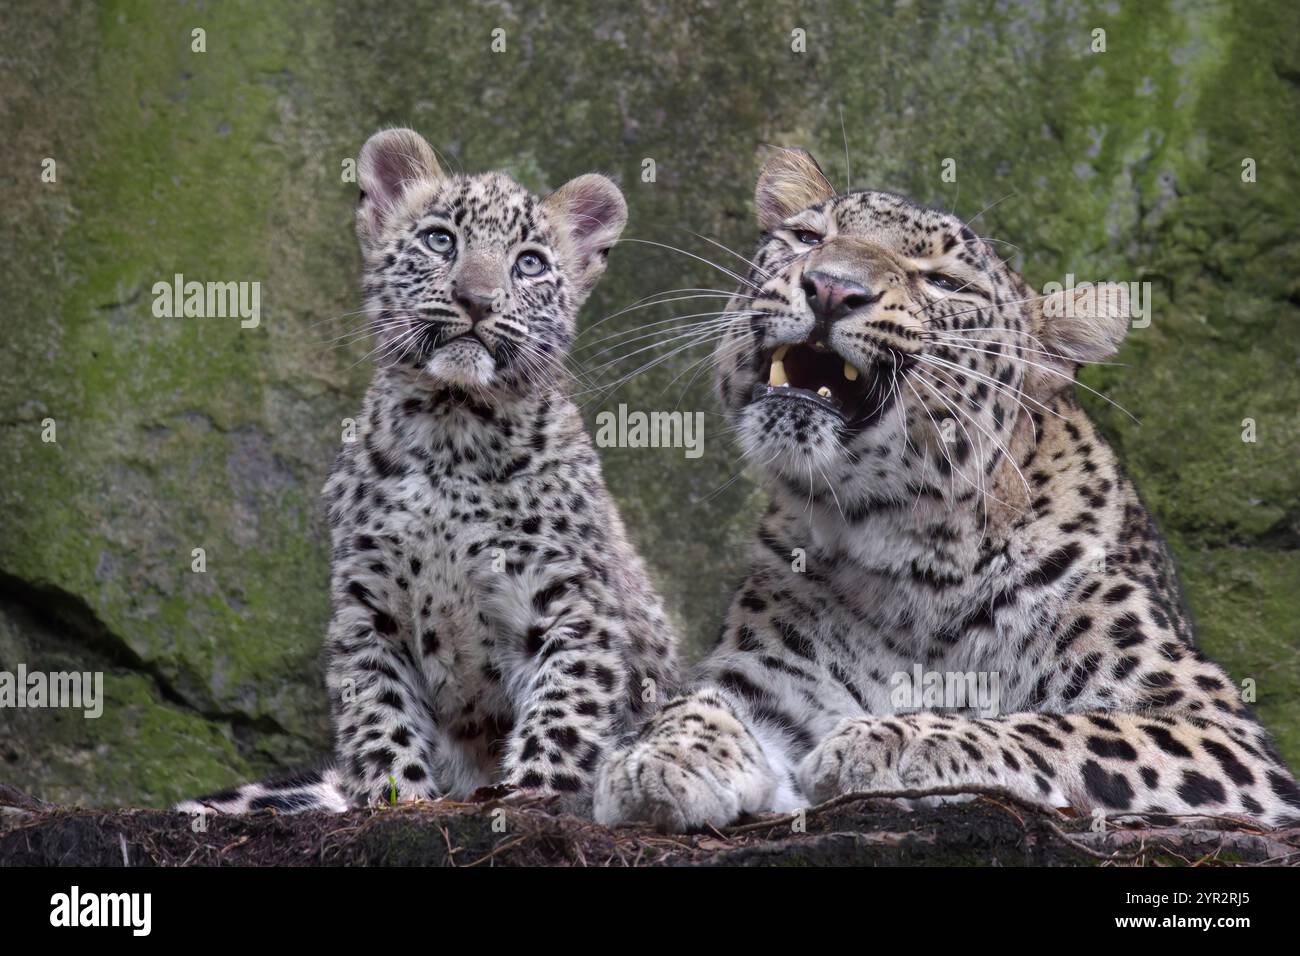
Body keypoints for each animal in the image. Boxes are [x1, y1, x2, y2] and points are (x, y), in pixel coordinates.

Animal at [178, 128, 679, 814]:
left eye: (529, 263)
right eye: (441, 240)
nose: (477, 299)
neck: (452, 432)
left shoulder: (572, 605)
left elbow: (563, 713)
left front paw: (533, 793)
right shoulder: (368, 608)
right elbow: (378, 717)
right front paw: (399, 799)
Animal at [593, 147, 1300, 832]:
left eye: (943, 282)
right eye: (807, 238)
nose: (831, 288)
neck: (903, 553)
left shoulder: (1217, 732)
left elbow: (1050, 728)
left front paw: (890, 742)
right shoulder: (768, 687)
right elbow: (699, 703)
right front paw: (665, 757)